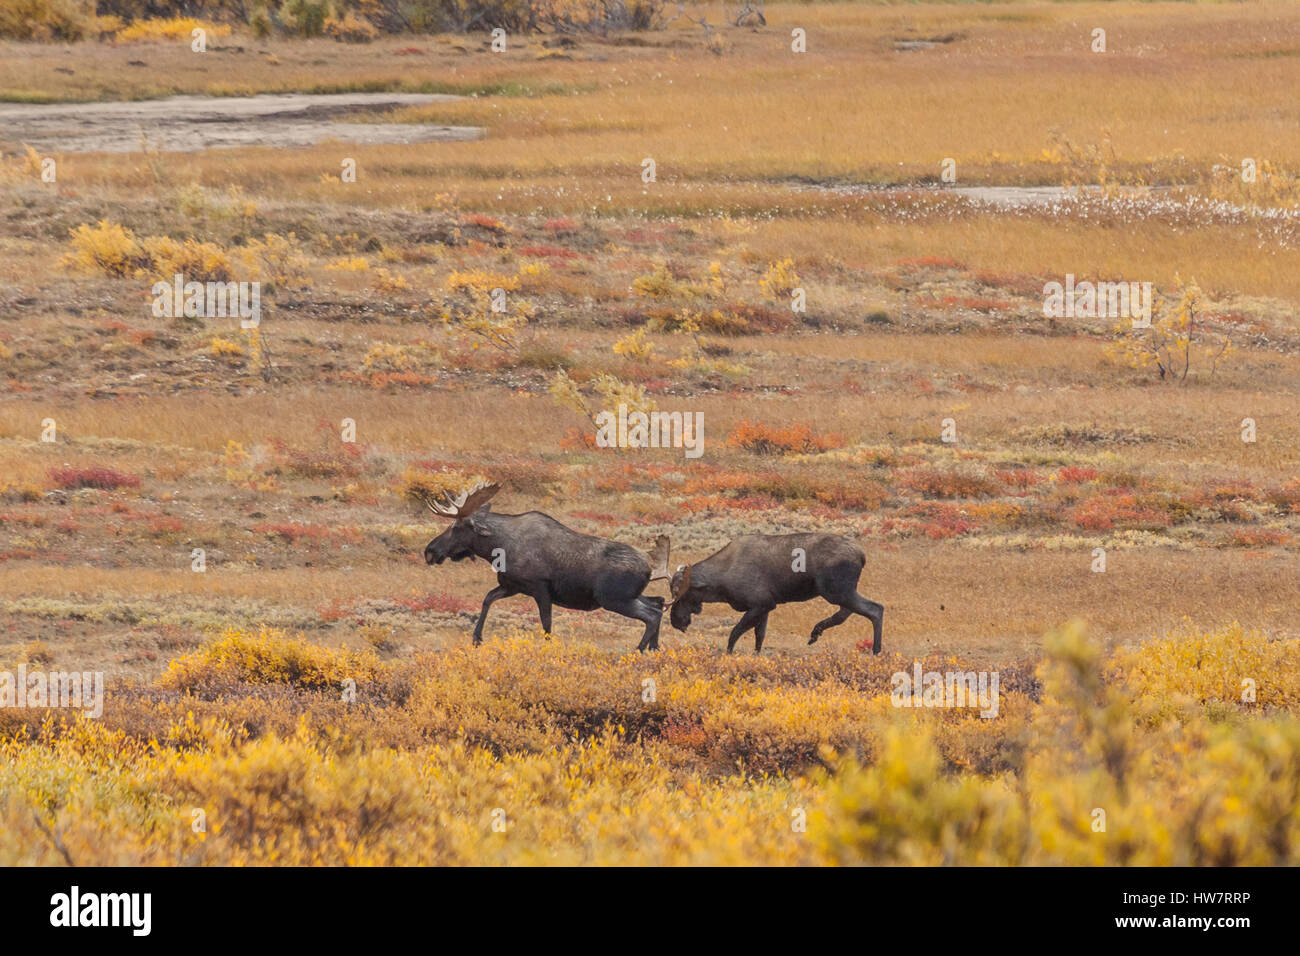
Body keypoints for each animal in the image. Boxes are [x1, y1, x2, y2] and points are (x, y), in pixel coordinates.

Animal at [423, 482, 668, 651]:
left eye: (457, 527)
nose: (430, 551)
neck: (497, 548)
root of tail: (649, 570)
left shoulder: (540, 589)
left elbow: (546, 625)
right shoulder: (512, 586)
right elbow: (487, 599)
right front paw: (476, 638)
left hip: (613, 599)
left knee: (651, 615)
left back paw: (638, 650)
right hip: (629, 596)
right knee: (658, 603)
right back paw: (653, 648)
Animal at [654, 533, 883, 655]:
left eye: (682, 595)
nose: (676, 621)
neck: (721, 583)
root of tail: (862, 556)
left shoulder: (760, 604)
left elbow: (735, 633)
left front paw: (728, 655)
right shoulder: (766, 607)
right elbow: (759, 637)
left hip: (835, 590)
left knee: (875, 609)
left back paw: (876, 650)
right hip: (841, 591)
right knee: (848, 612)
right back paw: (815, 632)